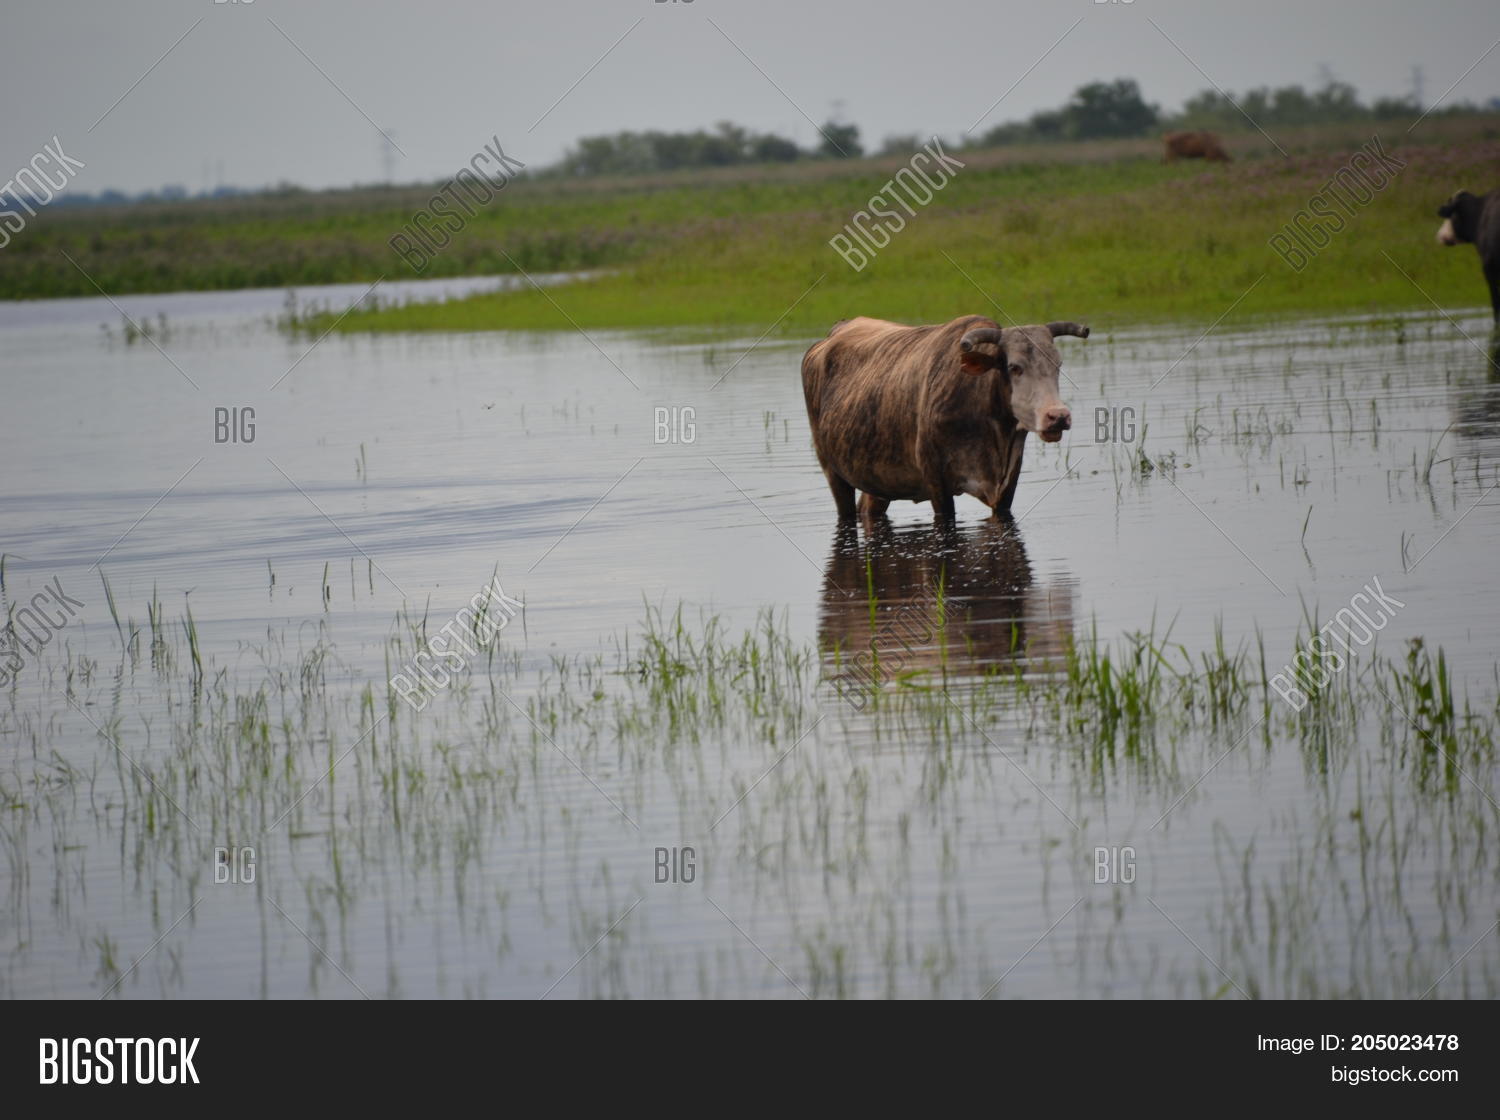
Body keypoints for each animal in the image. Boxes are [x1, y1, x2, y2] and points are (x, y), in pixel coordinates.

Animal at [800, 315, 1088, 525]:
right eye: (1014, 367)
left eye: (1057, 365)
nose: (1057, 416)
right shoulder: (936, 482)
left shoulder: (1007, 485)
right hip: (833, 472)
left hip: (878, 480)